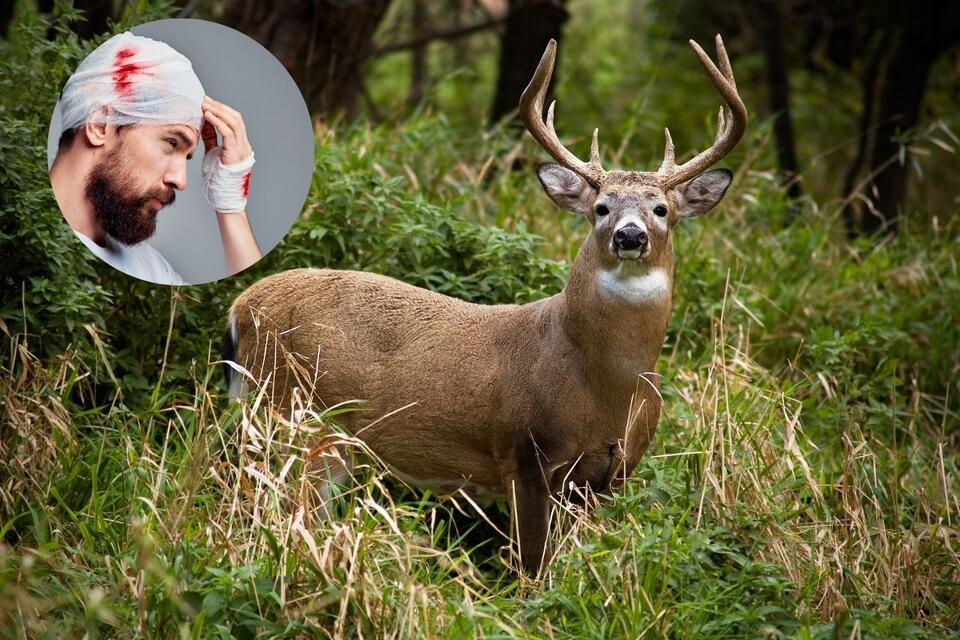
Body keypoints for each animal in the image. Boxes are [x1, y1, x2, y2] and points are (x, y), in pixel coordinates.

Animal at [221, 35, 746, 576]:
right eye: (601, 208)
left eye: (661, 209)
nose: (629, 235)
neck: (606, 386)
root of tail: (240, 308)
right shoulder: (524, 452)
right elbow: (534, 567)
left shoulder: (612, 472)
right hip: (287, 412)